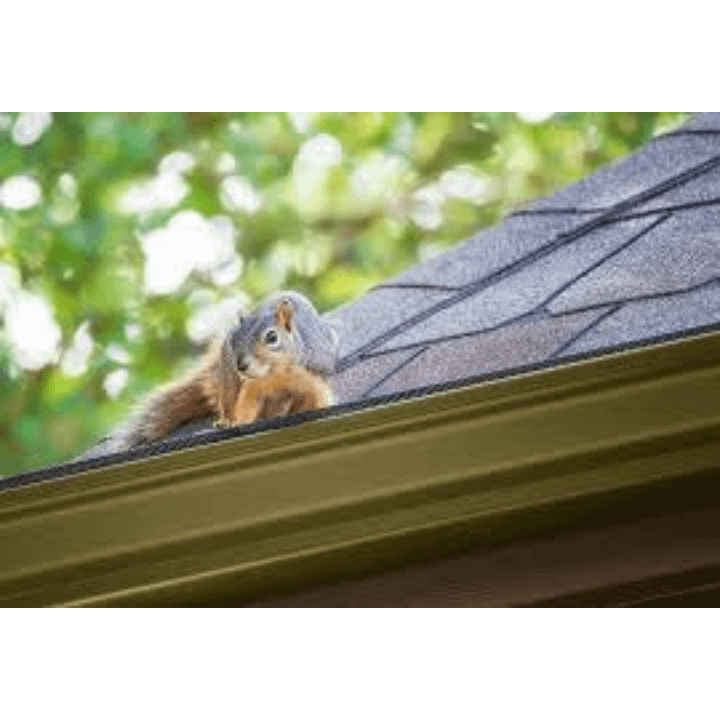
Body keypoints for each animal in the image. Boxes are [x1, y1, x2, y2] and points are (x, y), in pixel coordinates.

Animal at [78, 292, 338, 460]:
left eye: (272, 337)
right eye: (234, 338)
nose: (240, 364)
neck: (275, 374)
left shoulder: (314, 375)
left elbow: (317, 397)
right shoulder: (250, 389)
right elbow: (244, 407)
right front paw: (234, 423)